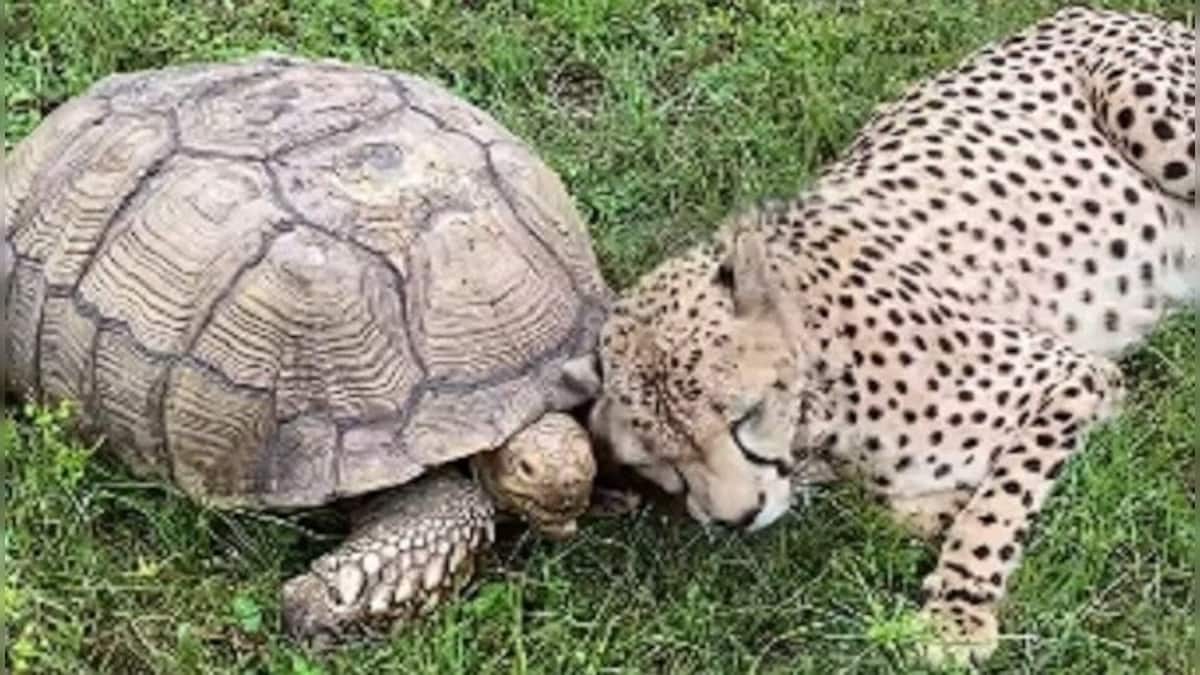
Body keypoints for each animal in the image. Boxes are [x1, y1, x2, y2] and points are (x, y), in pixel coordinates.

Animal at [584, 6, 1198, 668]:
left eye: (743, 418)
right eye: (662, 460)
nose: (738, 518)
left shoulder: (1072, 375)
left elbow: (998, 503)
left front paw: (957, 613)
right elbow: (898, 504)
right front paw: (933, 513)